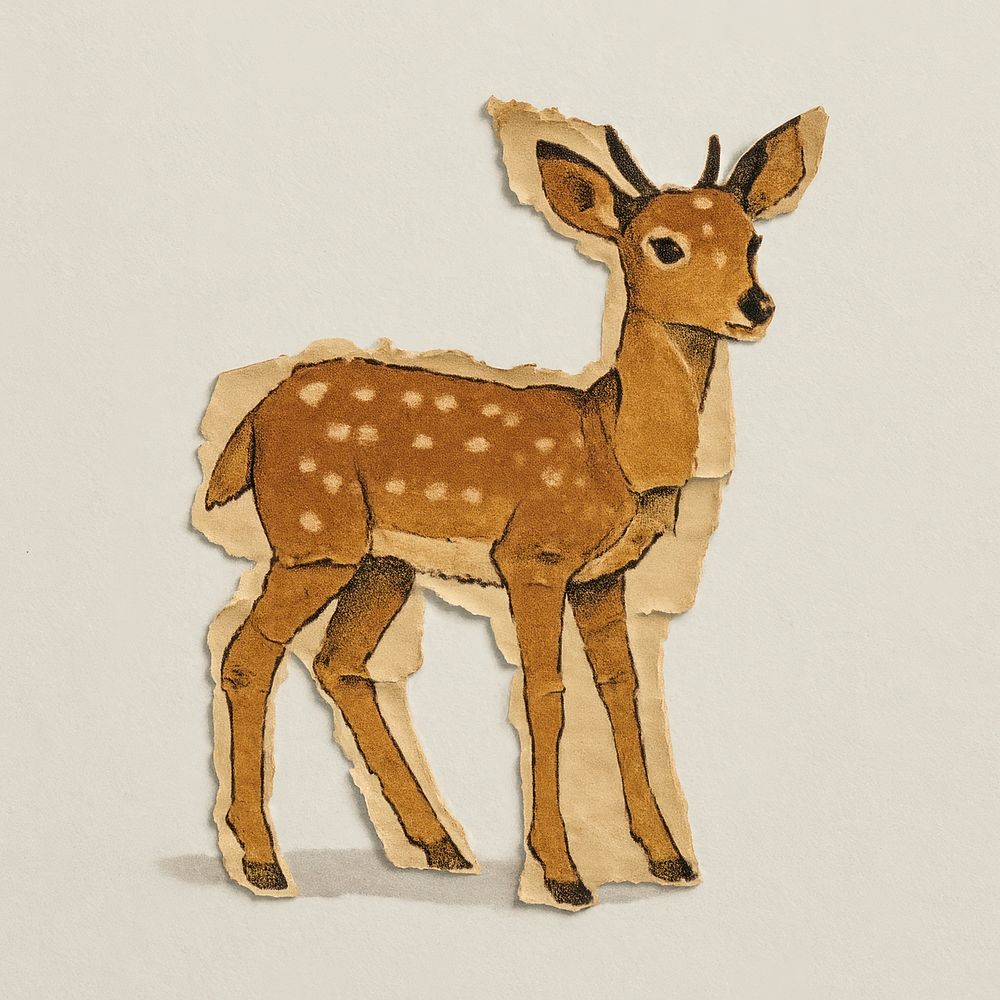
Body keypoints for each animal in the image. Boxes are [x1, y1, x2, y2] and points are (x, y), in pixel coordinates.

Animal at [199, 103, 827, 909]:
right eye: (665, 245)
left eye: (753, 240)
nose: (757, 305)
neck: (612, 448)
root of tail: (253, 416)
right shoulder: (533, 557)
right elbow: (545, 694)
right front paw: (563, 875)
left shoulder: (602, 577)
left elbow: (623, 691)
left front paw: (668, 857)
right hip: (315, 537)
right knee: (247, 653)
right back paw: (263, 860)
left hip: (382, 563)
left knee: (339, 665)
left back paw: (438, 844)